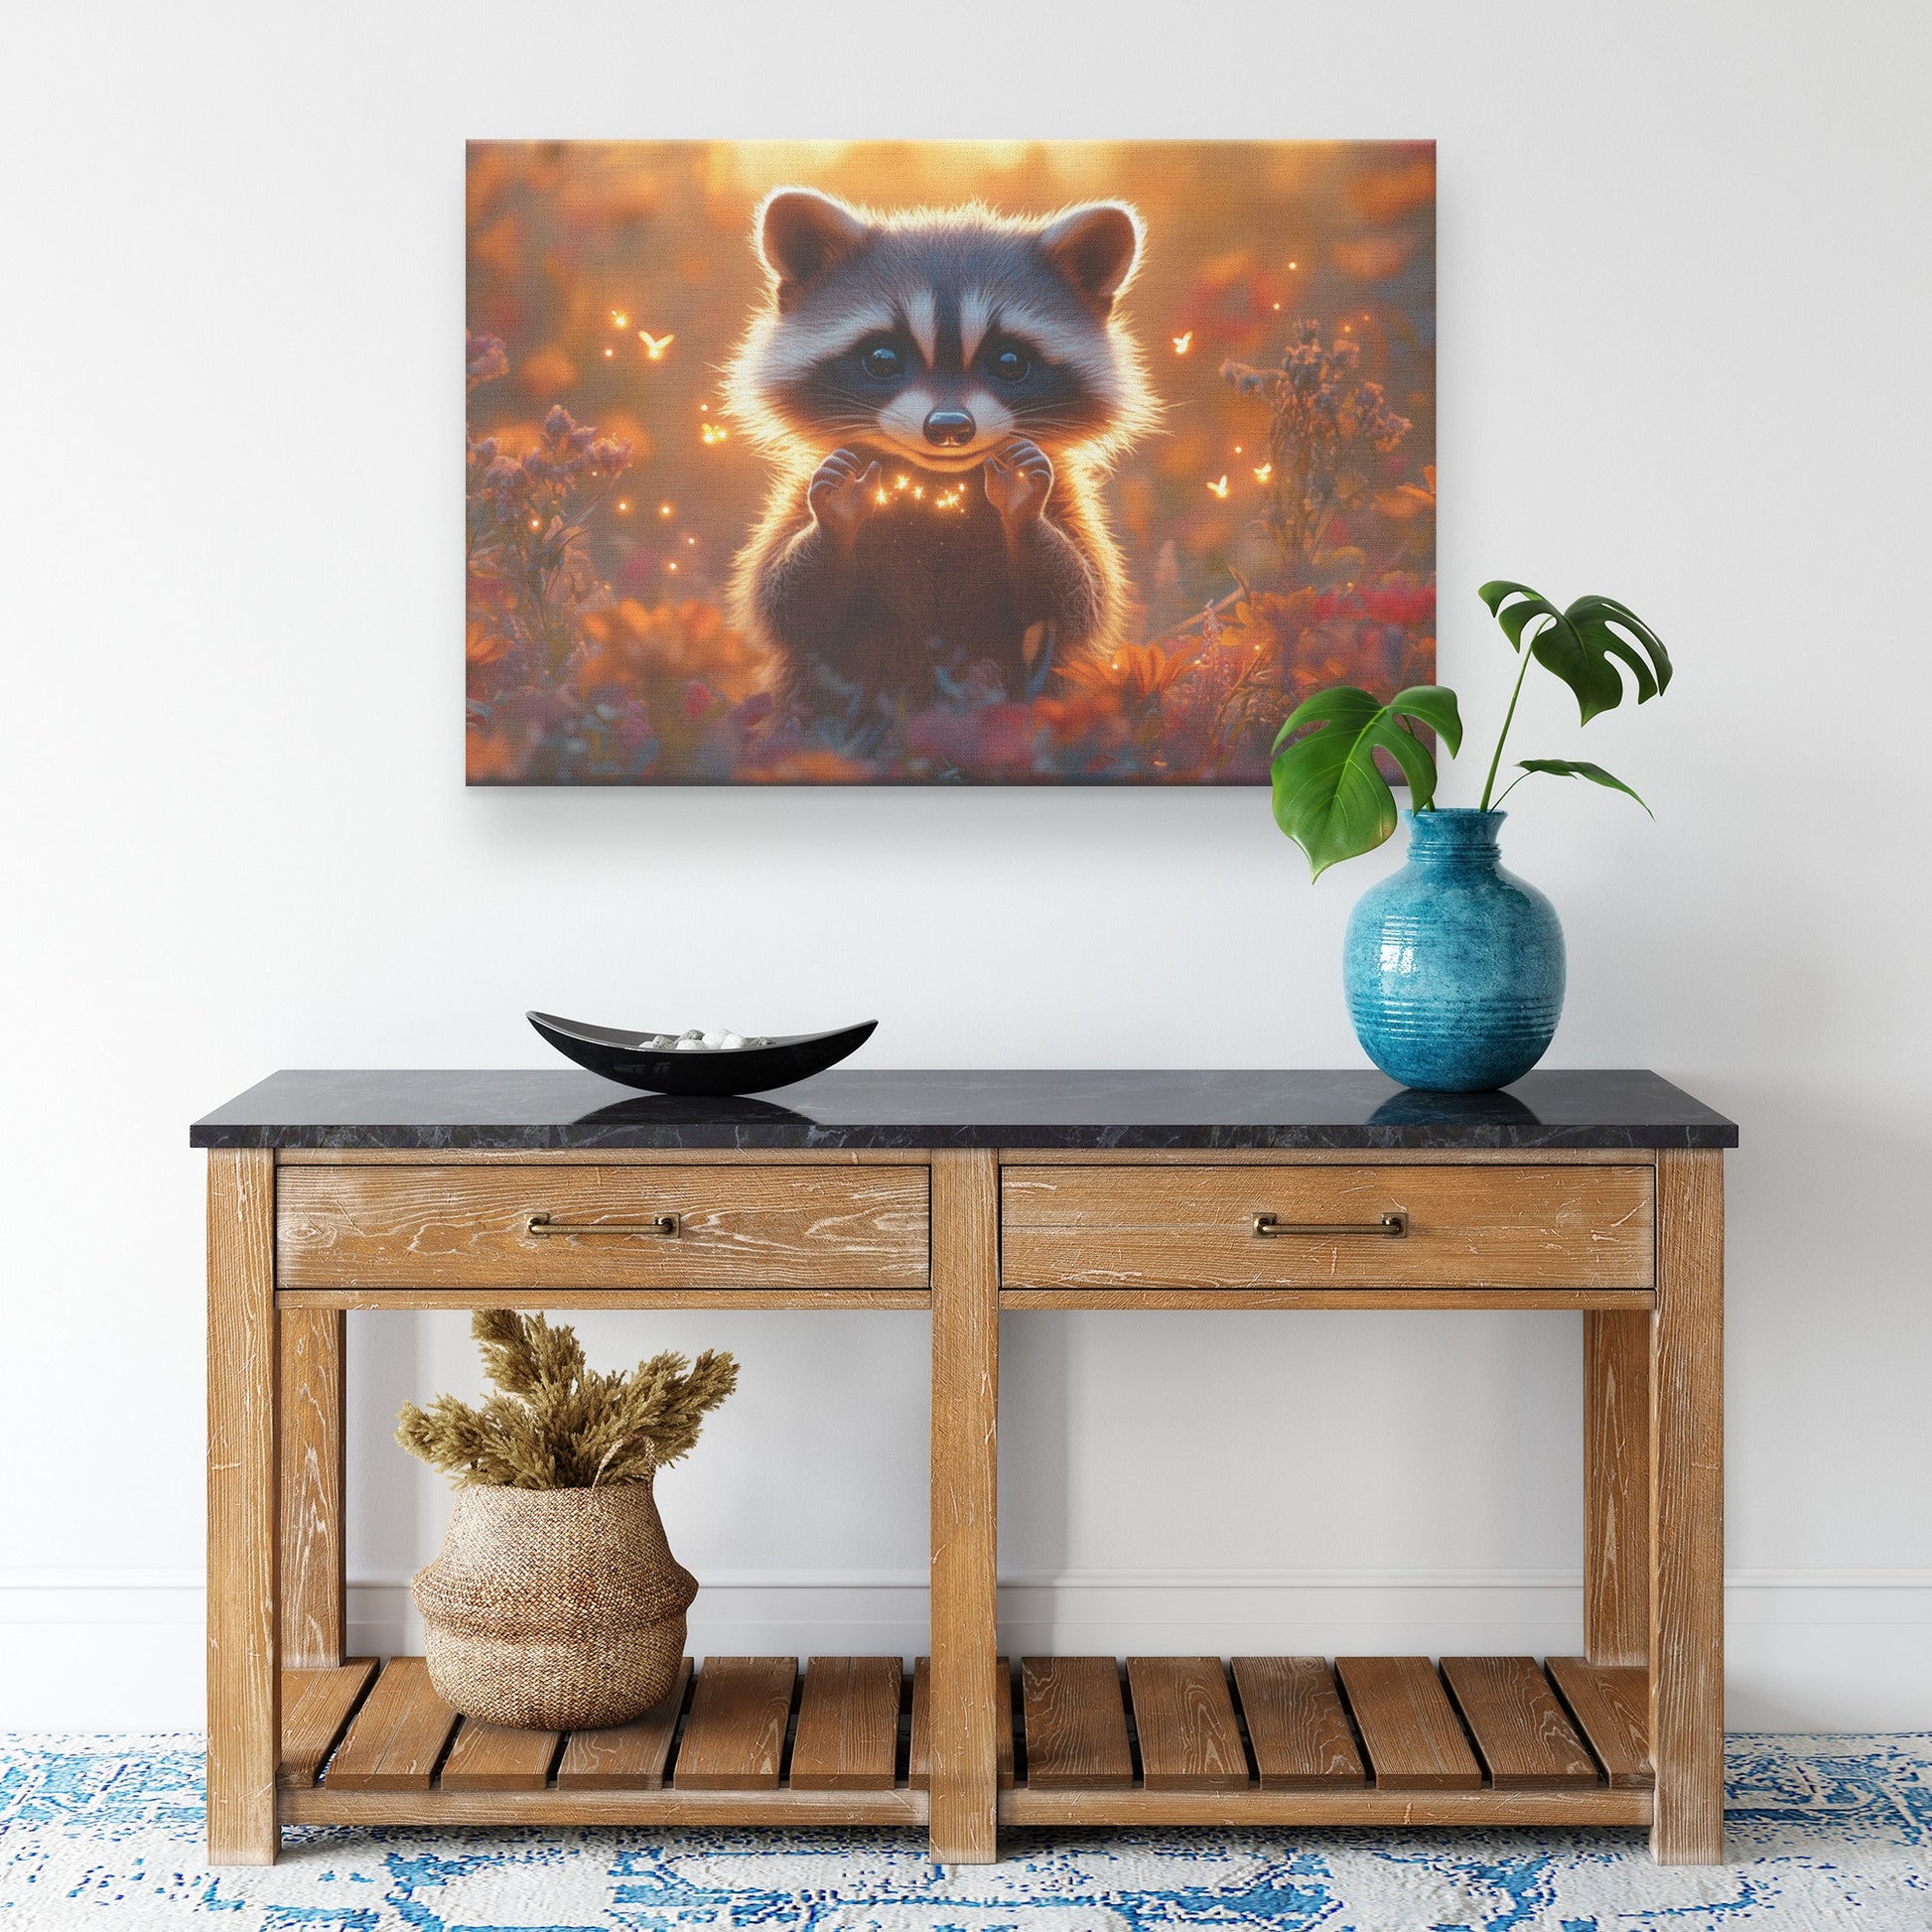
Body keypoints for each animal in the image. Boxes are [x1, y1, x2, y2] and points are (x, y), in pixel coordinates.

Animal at [725, 188, 1156, 710]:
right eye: (882, 359)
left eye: (1009, 361)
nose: (949, 427)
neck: (937, 485)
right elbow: (786, 605)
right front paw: (834, 517)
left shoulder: (1068, 500)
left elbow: (1079, 599)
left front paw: (1025, 510)